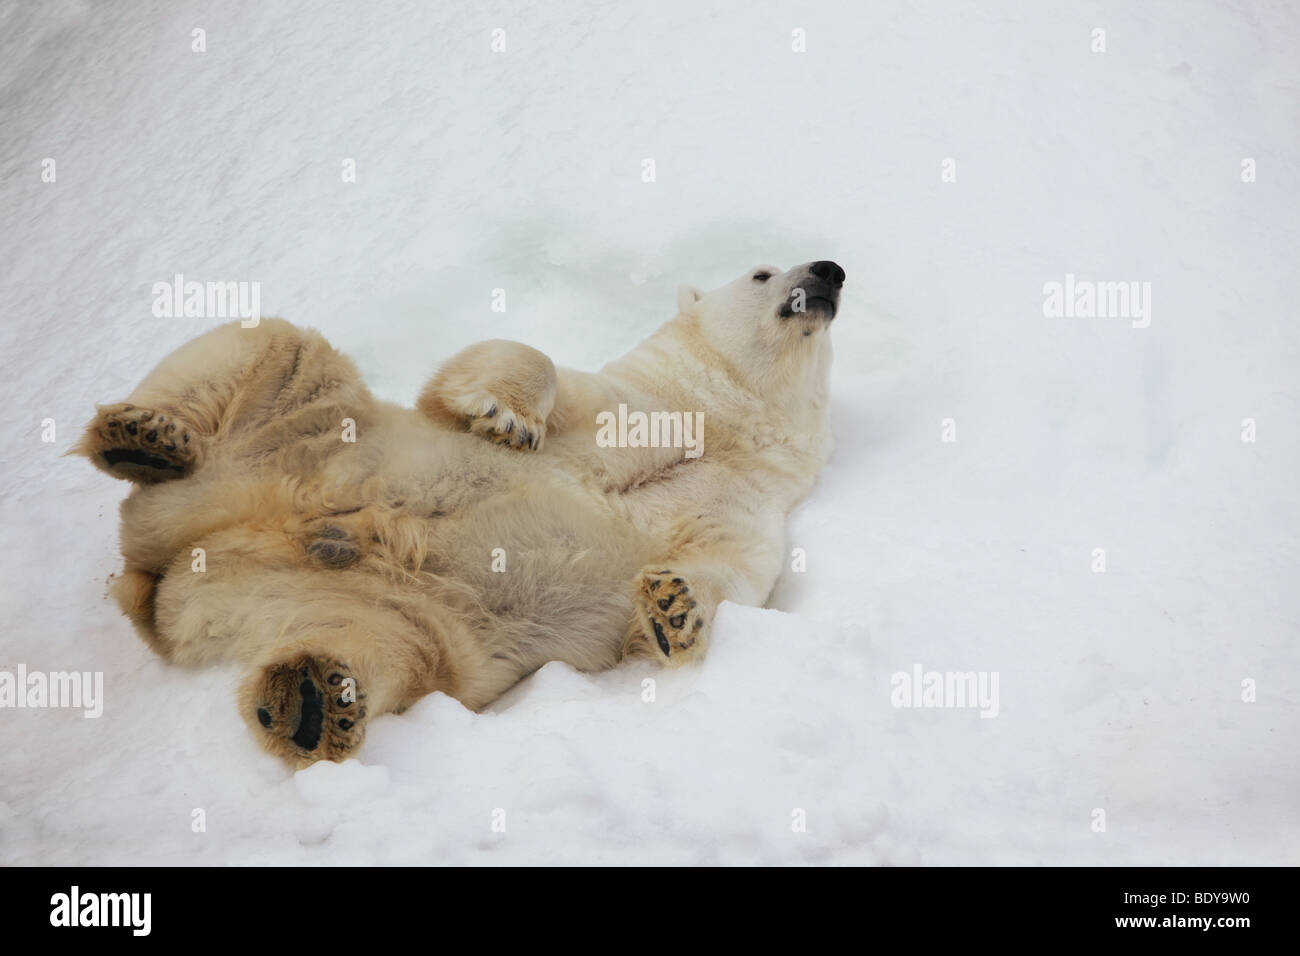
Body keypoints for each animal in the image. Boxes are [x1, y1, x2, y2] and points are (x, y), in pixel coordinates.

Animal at [75, 260, 846, 765]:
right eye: (761, 271)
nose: (830, 269)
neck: (723, 427)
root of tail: (168, 565)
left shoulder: (746, 499)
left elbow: (729, 572)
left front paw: (674, 606)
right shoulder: (634, 401)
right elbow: (515, 365)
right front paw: (505, 419)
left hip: (383, 607)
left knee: (387, 648)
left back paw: (313, 702)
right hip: (301, 442)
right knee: (276, 347)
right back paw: (146, 437)